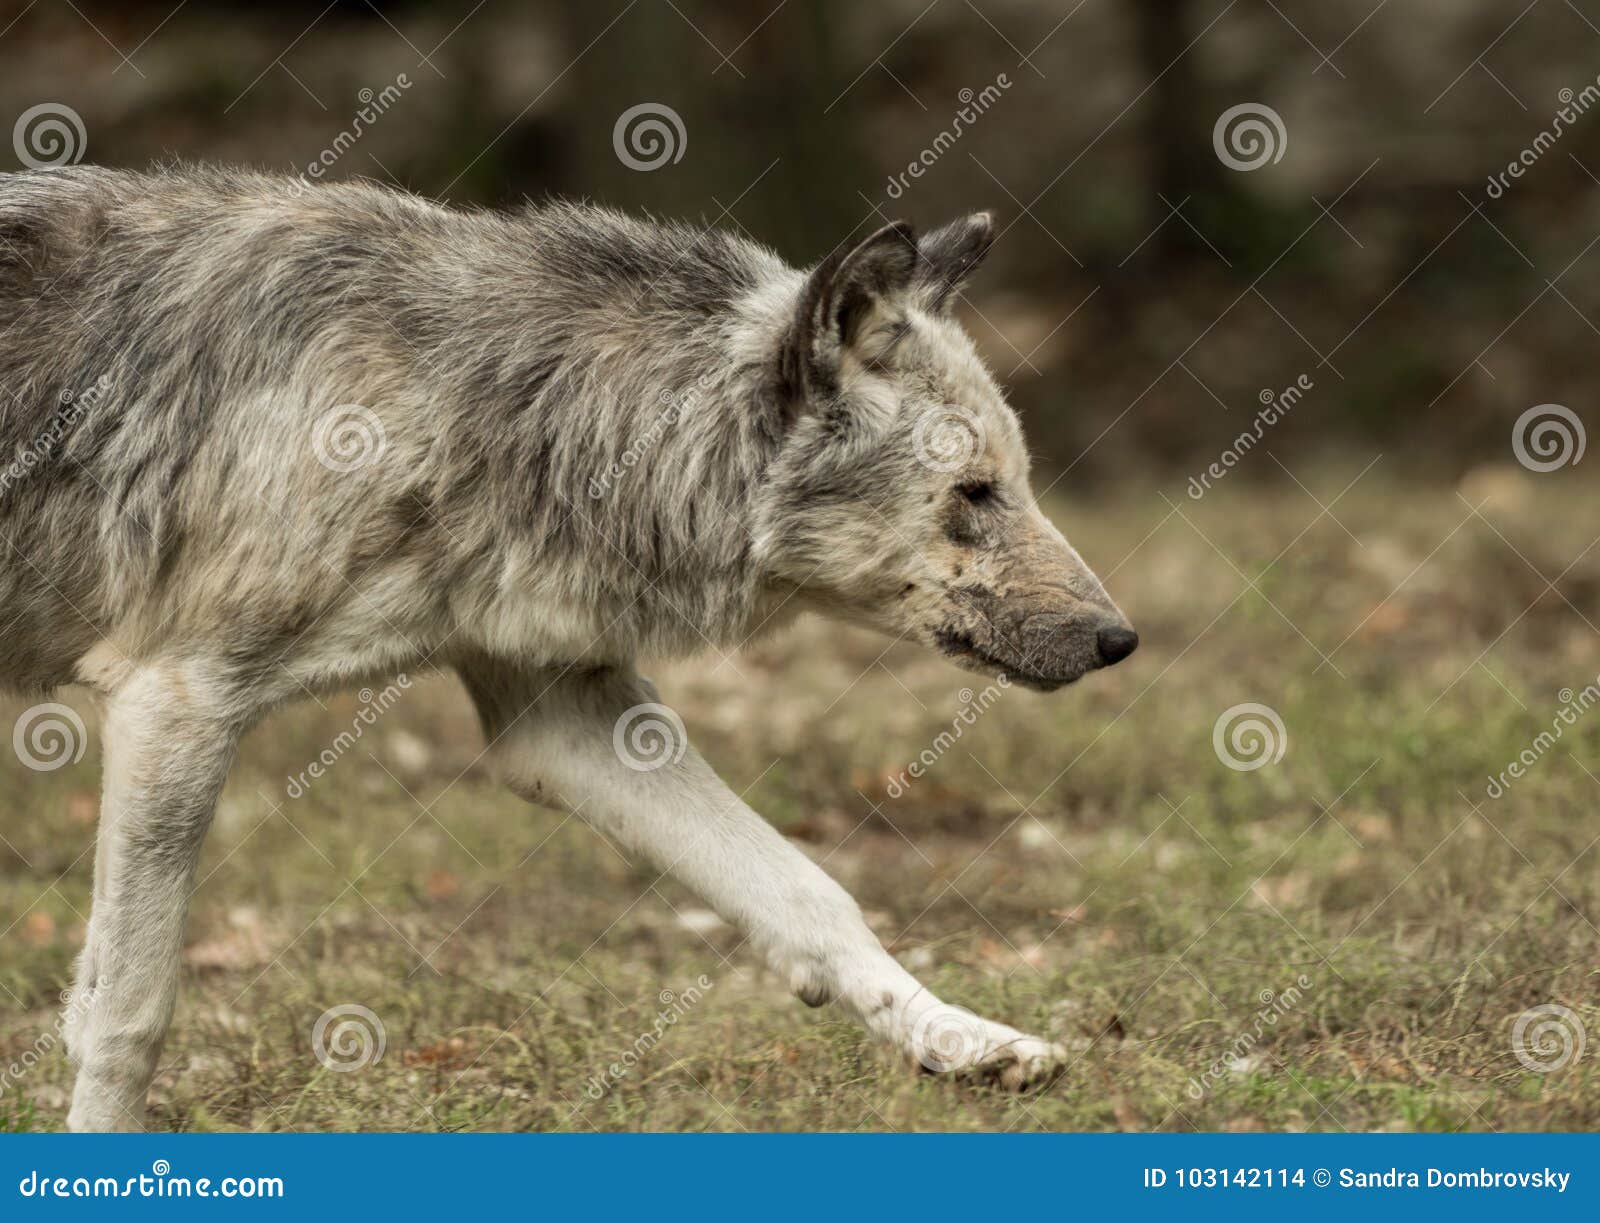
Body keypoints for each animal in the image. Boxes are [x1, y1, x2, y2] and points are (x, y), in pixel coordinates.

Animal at [0, 165, 1136, 1131]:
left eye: (1018, 482)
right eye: (973, 494)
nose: (1120, 639)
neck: (489, 404)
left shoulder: (563, 719)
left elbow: (810, 892)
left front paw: (963, 1040)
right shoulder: (174, 703)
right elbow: (131, 1011)